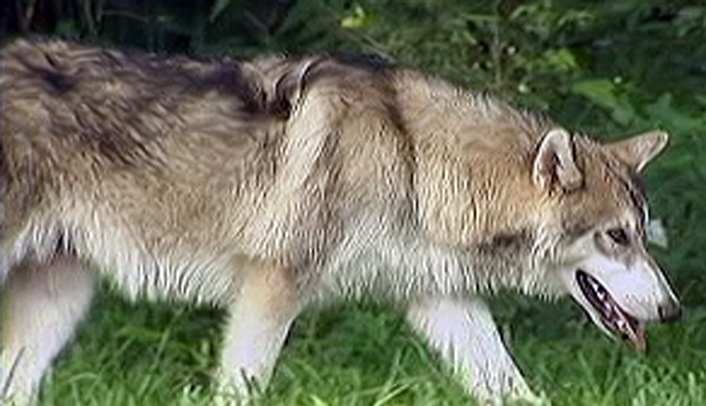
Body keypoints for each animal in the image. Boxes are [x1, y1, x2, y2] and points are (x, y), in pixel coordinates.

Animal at [0, 38, 680, 405]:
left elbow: (509, 384)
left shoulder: (440, 300)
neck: (414, 161)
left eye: (642, 234)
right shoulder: (272, 288)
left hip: (56, 305)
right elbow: (243, 383)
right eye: (617, 236)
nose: (674, 310)